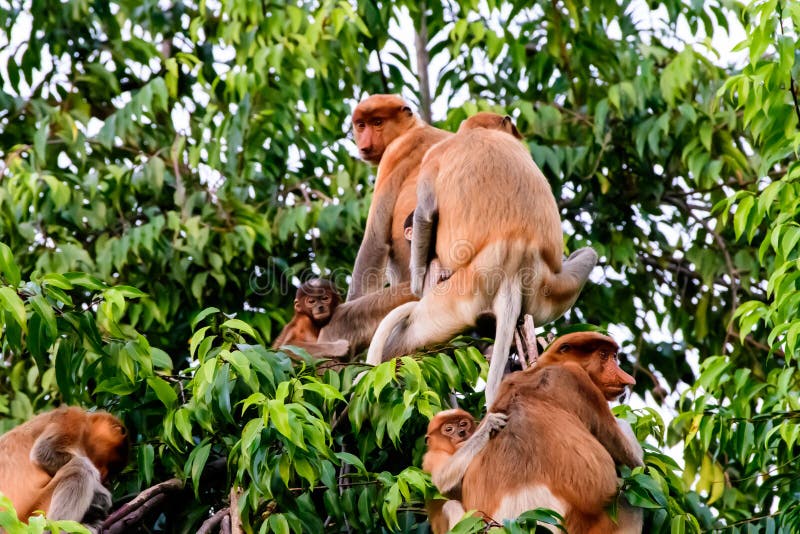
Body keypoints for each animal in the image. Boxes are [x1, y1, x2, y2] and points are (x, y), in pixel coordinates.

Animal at [0, 406, 129, 529]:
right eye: (107, 465)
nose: (105, 478)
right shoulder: (72, 419)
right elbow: (44, 453)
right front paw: (102, 495)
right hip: (33, 513)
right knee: (80, 467)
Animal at [348, 94, 452, 300]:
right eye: (361, 125)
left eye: (378, 122)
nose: (365, 146)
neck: (414, 127)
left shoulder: (392, 153)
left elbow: (375, 241)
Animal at [365, 112, 598, 406]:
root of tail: (516, 262)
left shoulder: (433, 155)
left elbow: (425, 214)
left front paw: (416, 283)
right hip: (550, 292)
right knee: (588, 254)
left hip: (457, 297)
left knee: (411, 330)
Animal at [432, 332, 643, 533]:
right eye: (604, 355)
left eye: (614, 356)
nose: (627, 379)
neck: (543, 368)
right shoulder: (579, 381)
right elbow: (633, 460)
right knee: (629, 502)